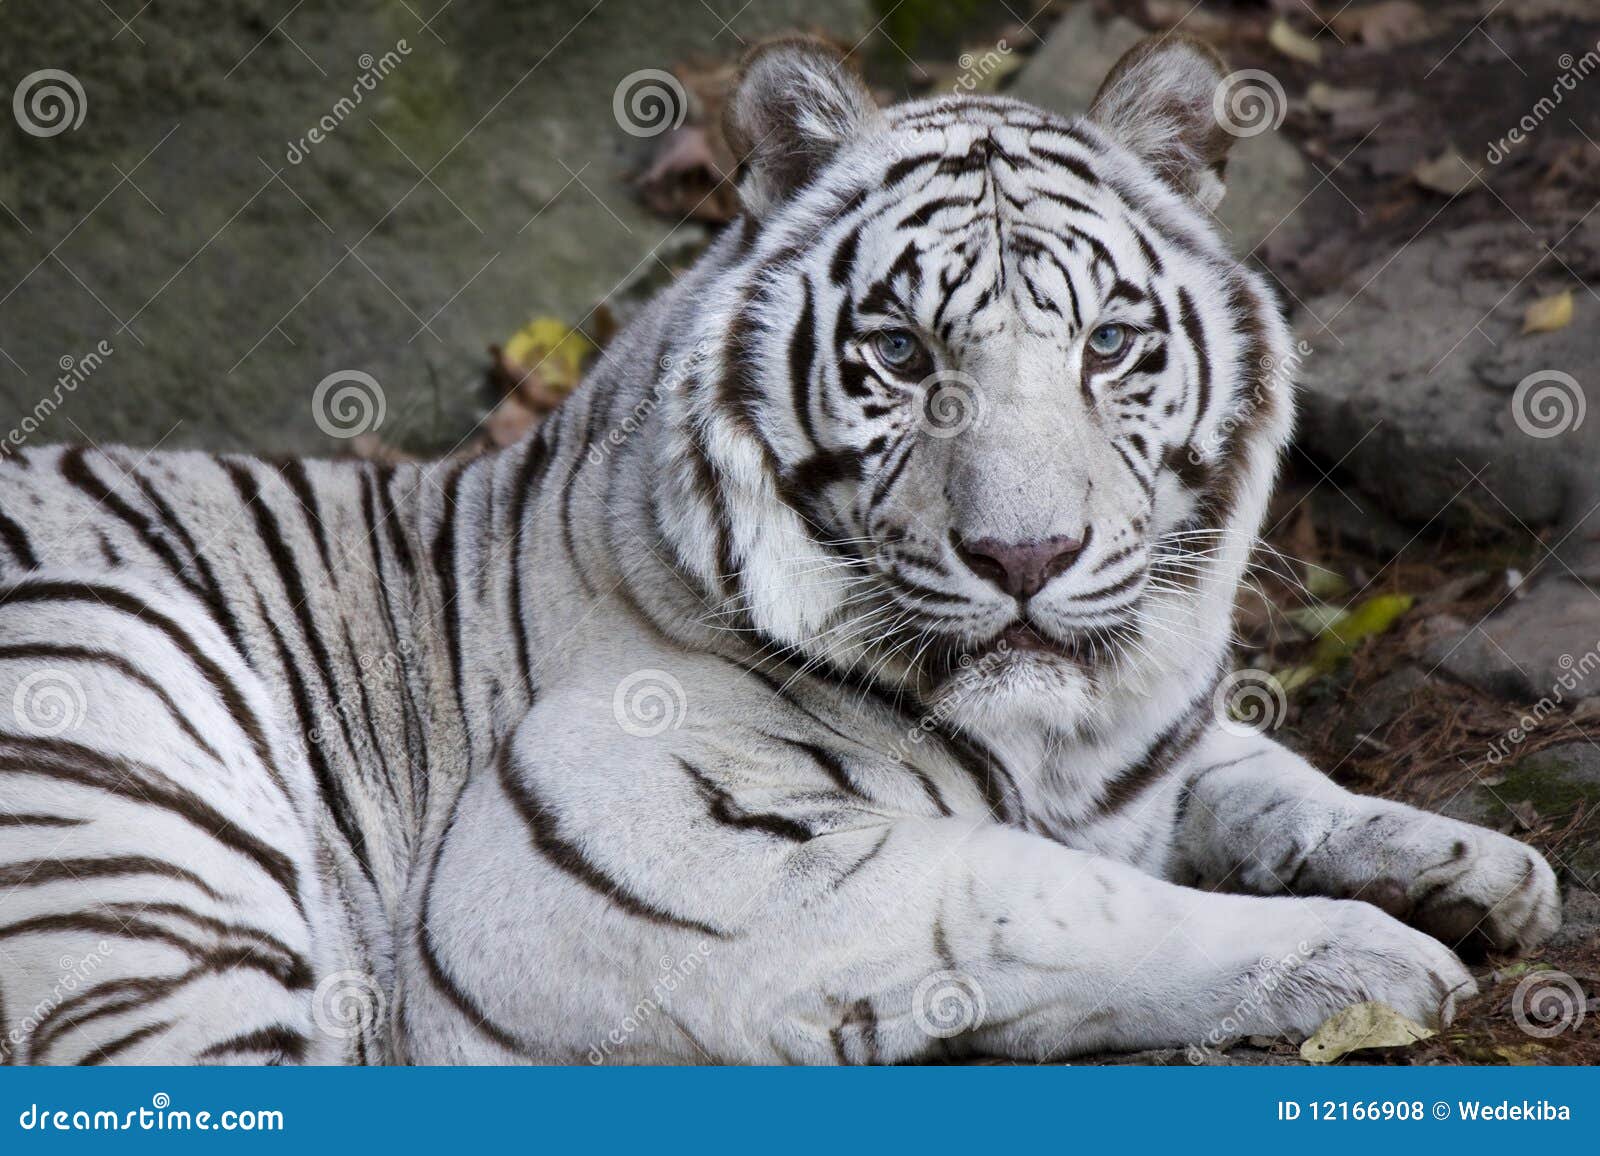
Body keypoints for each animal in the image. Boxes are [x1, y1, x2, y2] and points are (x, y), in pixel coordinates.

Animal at [0, 34, 1559, 1066]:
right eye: (901, 353)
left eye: (1110, 344)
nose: (1027, 556)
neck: (1062, 739)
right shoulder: (591, 851)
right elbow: (1028, 890)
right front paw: (1360, 955)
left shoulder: (1151, 746)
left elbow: (1274, 780)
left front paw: (1470, 863)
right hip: (114, 689)